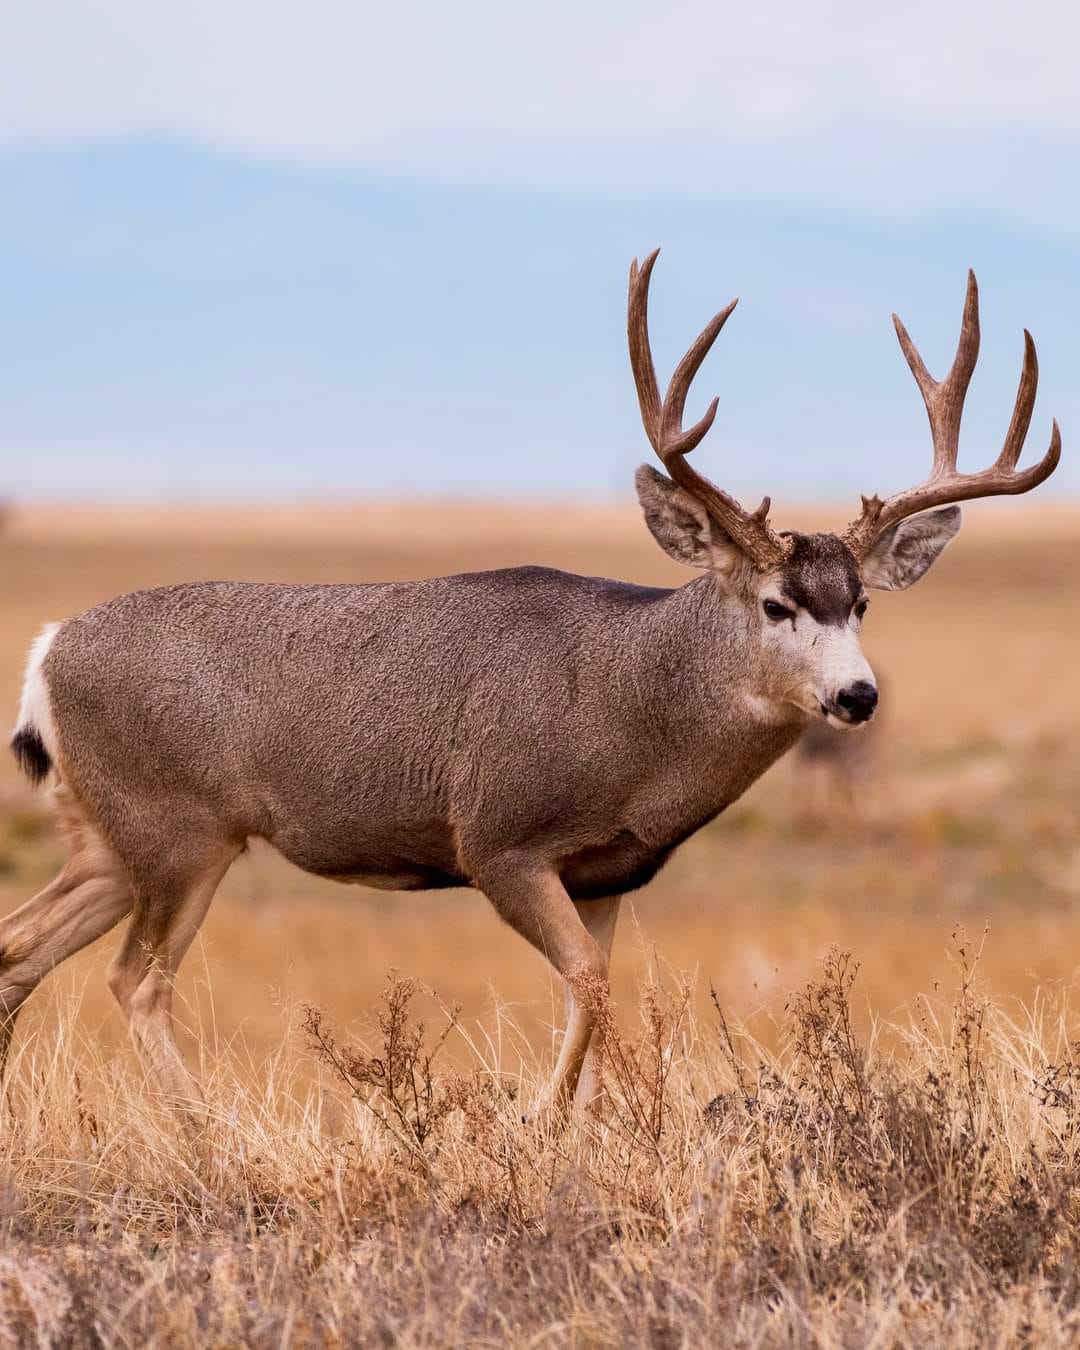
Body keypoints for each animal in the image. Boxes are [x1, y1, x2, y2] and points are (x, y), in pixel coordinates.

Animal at [2, 251, 1061, 1125]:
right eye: (774, 603)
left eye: (862, 604)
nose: (858, 699)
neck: (629, 708)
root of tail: (46, 652)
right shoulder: (498, 838)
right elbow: (587, 981)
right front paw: (538, 1122)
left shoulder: (607, 871)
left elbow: (591, 985)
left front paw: (585, 1127)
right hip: (181, 830)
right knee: (134, 981)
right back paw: (216, 1131)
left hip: (109, 836)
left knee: (18, 949)